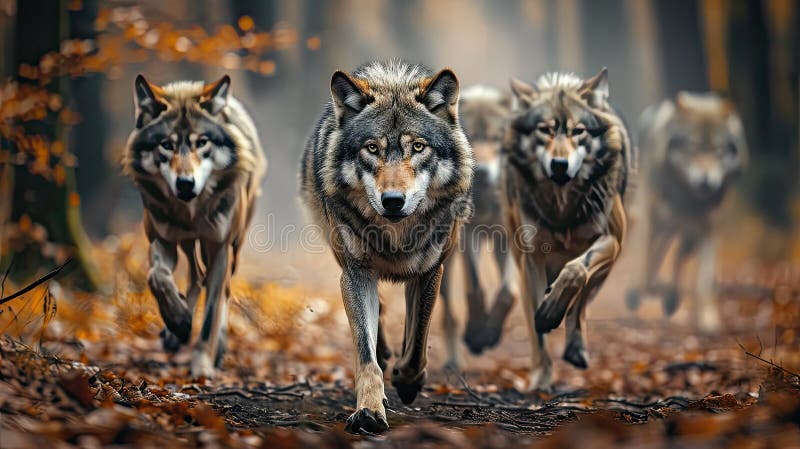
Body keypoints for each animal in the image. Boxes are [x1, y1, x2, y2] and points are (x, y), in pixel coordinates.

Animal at [123, 74, 266, 378]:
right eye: (166, 145)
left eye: (202, 142)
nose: (185, 184)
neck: (191, 214)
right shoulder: (161, 240)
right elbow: (157, 277)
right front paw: (178, 322)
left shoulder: (220, 248)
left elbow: (211, 313)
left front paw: (202, 364)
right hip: (188, 245)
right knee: (195, 278)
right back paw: (175, 332)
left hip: (231, 248)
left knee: (219, 289)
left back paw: (216, 348)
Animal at [300, 60, 472, 433]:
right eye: (372, 148)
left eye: (418, 147)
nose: (393, 200)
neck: (396, 236)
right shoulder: (356, 273)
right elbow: (365, 355)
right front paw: (369, 410)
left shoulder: (429, 272)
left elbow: (418, 340)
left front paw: (408, 381)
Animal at [439, 85, 516, 369]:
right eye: (469, 138)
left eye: (496, 138)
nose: (482, 172)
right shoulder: (468, 235)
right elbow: (475, 287)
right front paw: (475, 336)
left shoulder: (512, 238)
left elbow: (508, 293)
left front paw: (488, 335)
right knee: (448, 315)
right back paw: (452, 360)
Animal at [500, 68, 632, 390]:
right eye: (545, 130)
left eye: (578, 131)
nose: (559, 165)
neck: (562, 207)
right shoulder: (531, 259)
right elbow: (536, 332)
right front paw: (541, 378)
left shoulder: (611, 240)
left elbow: (576, 272)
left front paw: (552, 311)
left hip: (608, 263)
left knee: (581, 296)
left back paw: (574, 346)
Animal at [625, 92, 747, 333]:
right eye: (694, 147)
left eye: (718, 150)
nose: (706, 182)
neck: (688, 196)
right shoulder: (652, 218)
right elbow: (646, 260)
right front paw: (638, 291)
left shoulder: (708, 227)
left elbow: (705, 280)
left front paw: (708, 321)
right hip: (659, 221)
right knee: (654, 254)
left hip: (684, 231)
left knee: (678, 257)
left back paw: (671, 297)